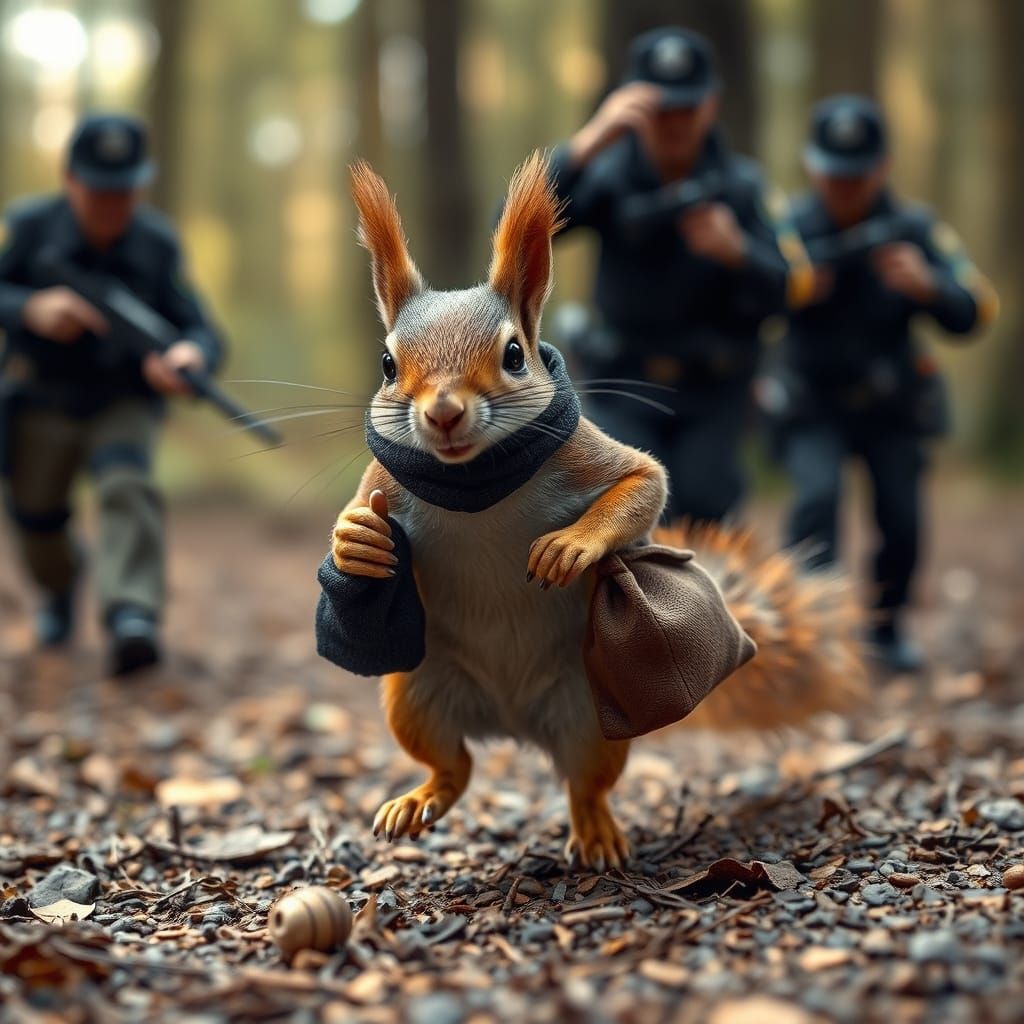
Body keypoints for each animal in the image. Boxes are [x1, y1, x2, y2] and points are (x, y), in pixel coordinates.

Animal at [320, 153, 865, 871]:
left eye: (514, 354)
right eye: (387, 364)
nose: (442, 413)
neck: (474, 484)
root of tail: (514, 723)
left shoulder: (592, 457)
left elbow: (645, 484)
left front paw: (572, 547)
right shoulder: (379, 482)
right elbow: (353, 520)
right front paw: (355, 540)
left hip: (589, 712)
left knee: (583, 782)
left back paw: (598, 833)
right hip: (416, 693)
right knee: (453, 767)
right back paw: (418, 799)